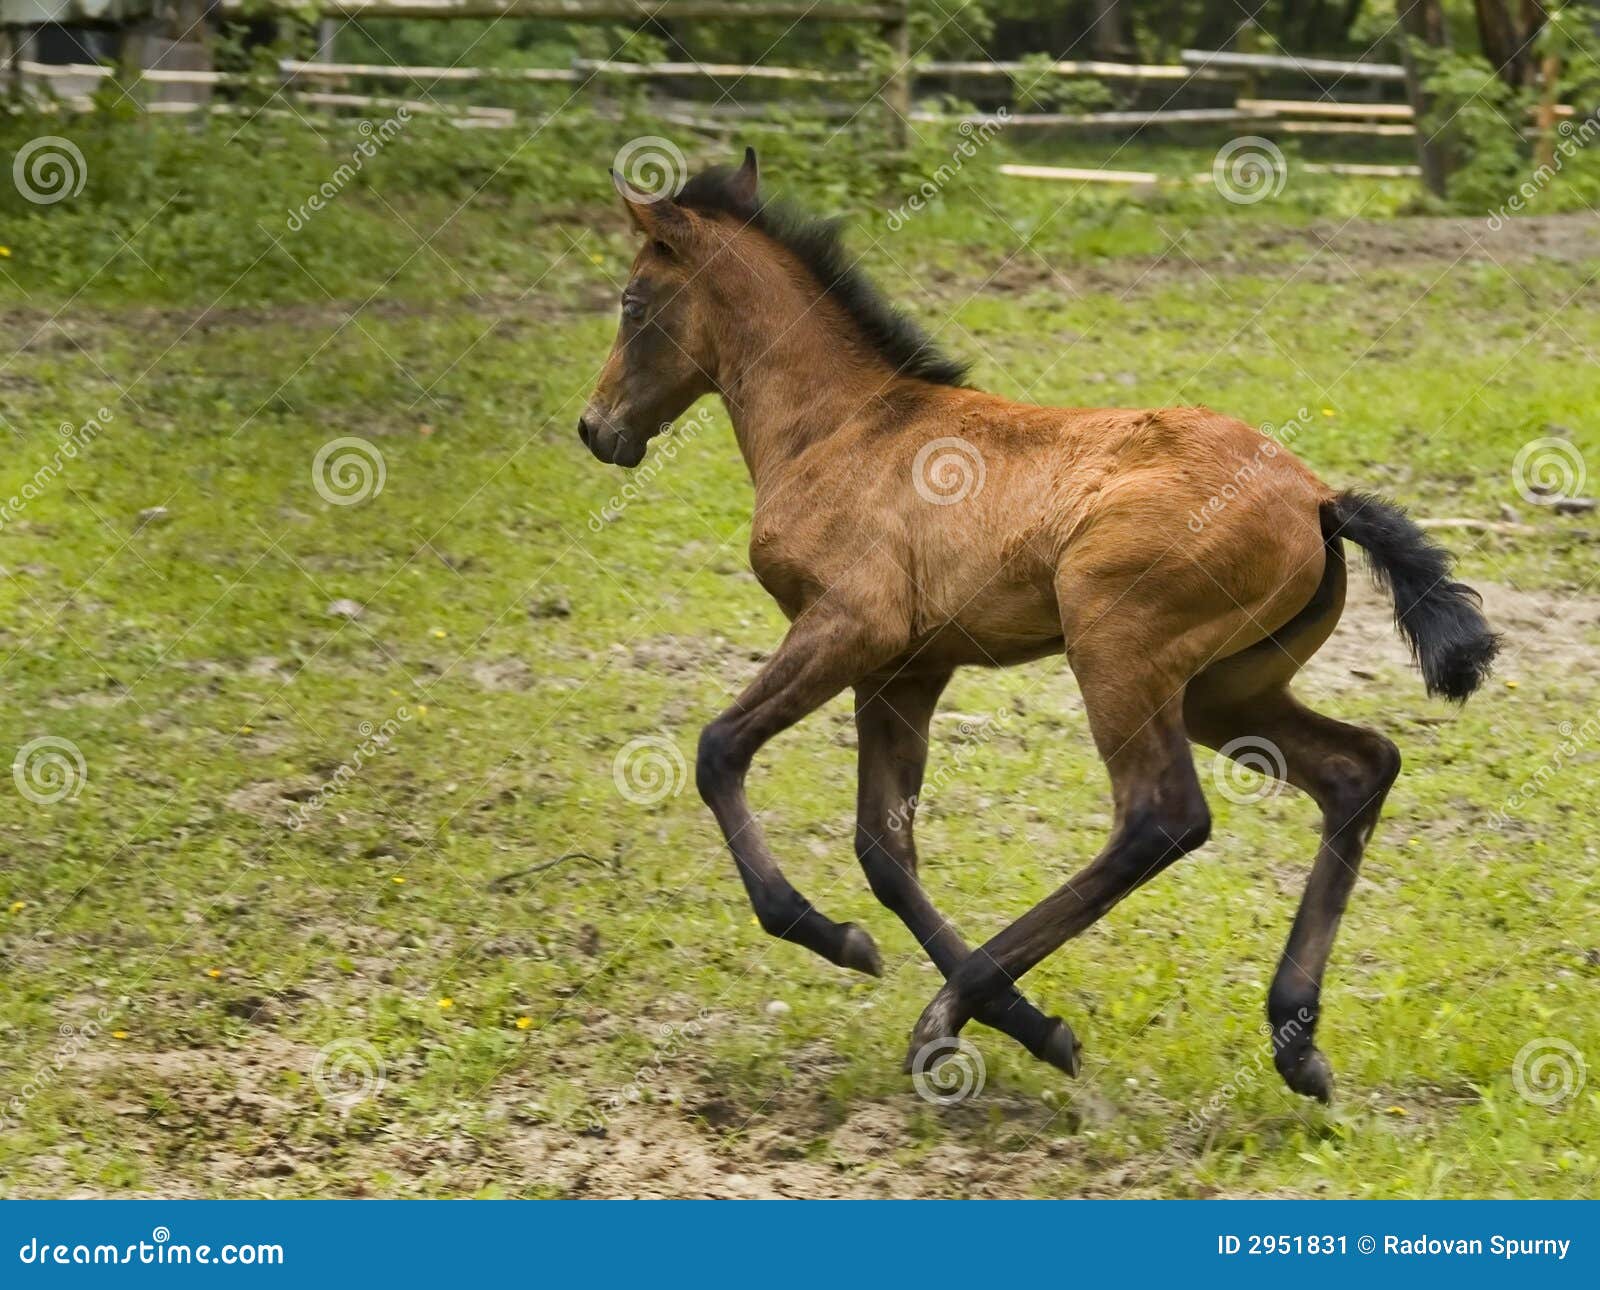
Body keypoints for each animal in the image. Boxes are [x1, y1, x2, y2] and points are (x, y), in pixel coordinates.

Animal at [577, 147, 1499, 1104]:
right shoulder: (905, 669)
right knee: (1360, 767)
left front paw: (836, 938)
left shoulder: (852, 626)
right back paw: (1295, 1041)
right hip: (1222, 690)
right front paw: (1017, 1020)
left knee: (1161, 818)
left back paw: (956, 1012)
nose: (595, 428)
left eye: (633, 303)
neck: (838, 426)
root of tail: (1319, 498)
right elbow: (884, 850)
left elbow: (720, 750)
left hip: (1117, 649)